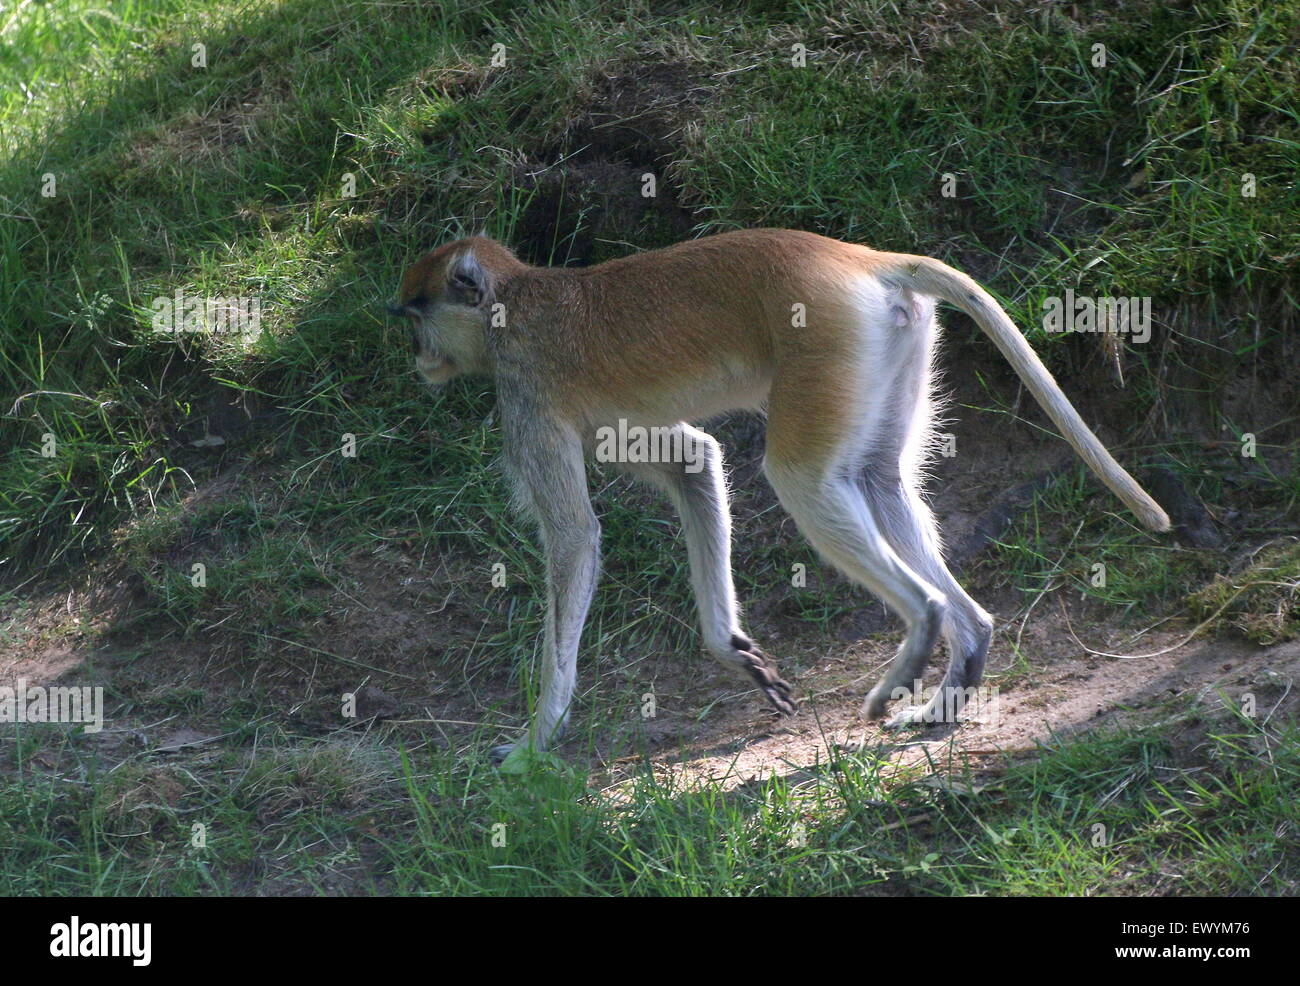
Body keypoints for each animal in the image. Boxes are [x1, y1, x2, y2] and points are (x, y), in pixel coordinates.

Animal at [388, 228, 1169, 763]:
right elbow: (693, 464)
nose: (416, 359)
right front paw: (734, 650)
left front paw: (534, 741)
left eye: (415, 316)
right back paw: (959, 661)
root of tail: (857, 260)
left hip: (827, 340)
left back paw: (922, 630)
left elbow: (575, 538)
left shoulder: (525, 394)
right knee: (880, 479)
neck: (518, 299)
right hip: (890, 345)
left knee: (802, 479)